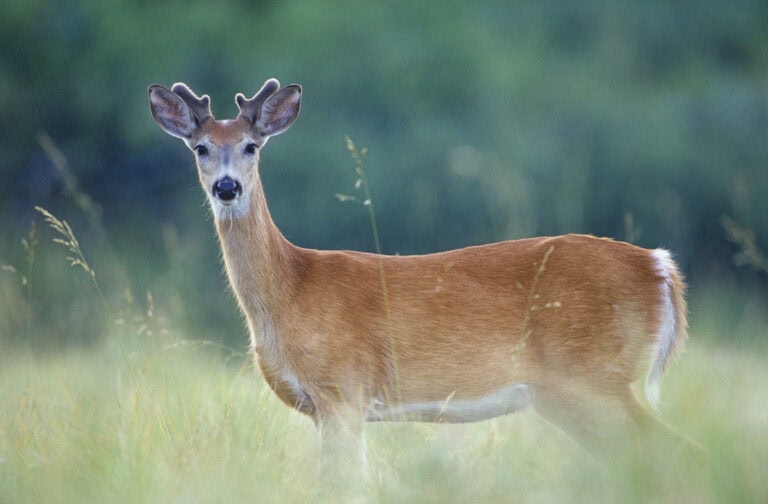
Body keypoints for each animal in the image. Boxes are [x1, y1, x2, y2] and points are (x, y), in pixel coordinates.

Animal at [148, 78, 688, 466]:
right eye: (200, 148)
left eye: (251, 146)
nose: (227, 187)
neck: (293, 289)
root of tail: (660, 266)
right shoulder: (329, 408)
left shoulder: (344, 391)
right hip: (575, 394)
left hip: (595, 377)